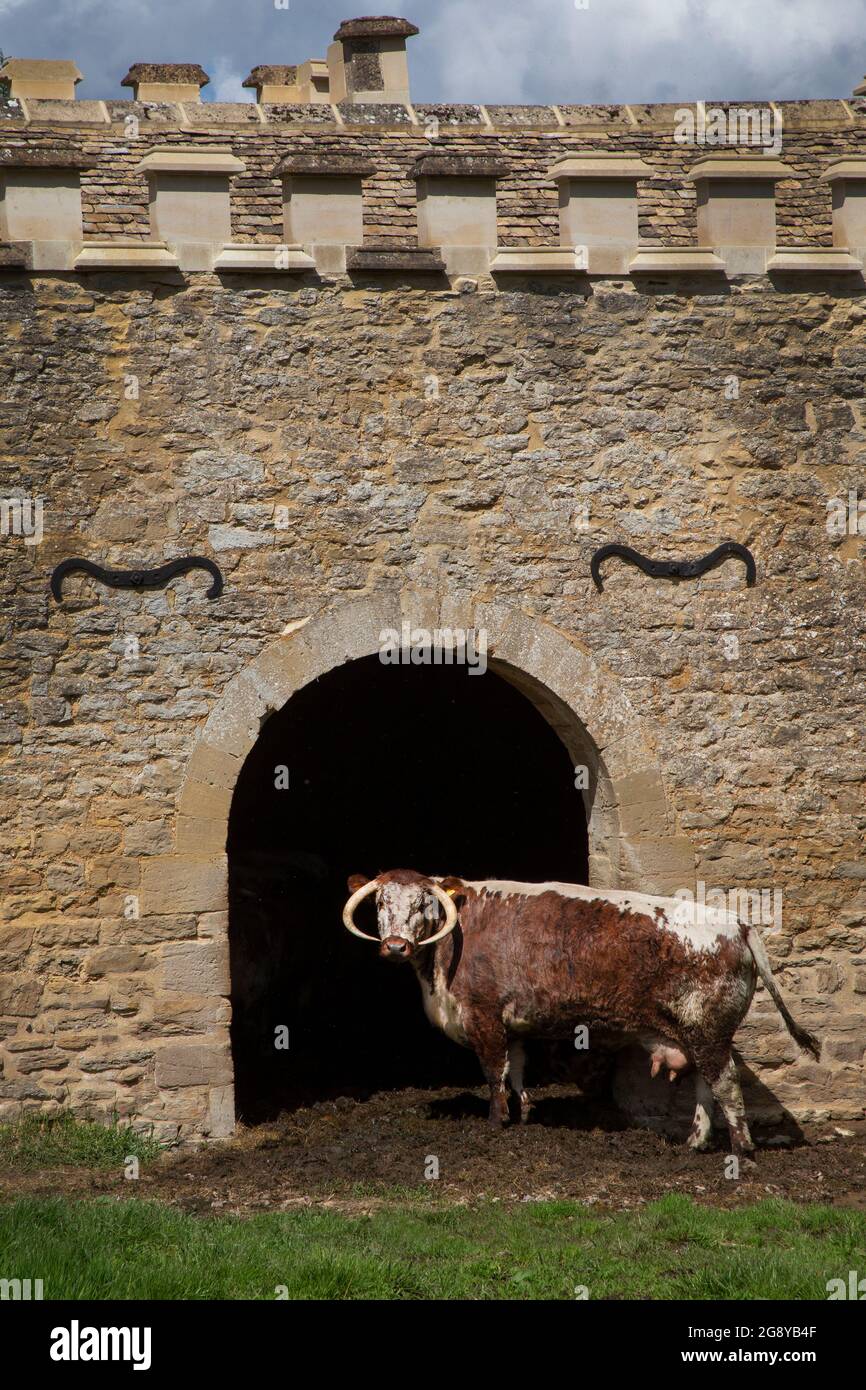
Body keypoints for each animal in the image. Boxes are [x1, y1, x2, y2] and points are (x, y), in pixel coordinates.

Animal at [342, 870, 820, 1157]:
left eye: (424, 904)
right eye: (381, 903)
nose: (396, 946)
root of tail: (735, 923)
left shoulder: (484, 1018)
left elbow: (494, 1074)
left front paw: (496, 1122)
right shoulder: (513, 1026)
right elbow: (516, 1071)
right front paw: (524, 1113)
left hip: (709, 1031)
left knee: (727, 1085)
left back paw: (741, 1150)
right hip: (698, 1034)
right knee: (707, 1083)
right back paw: (696, 1141)